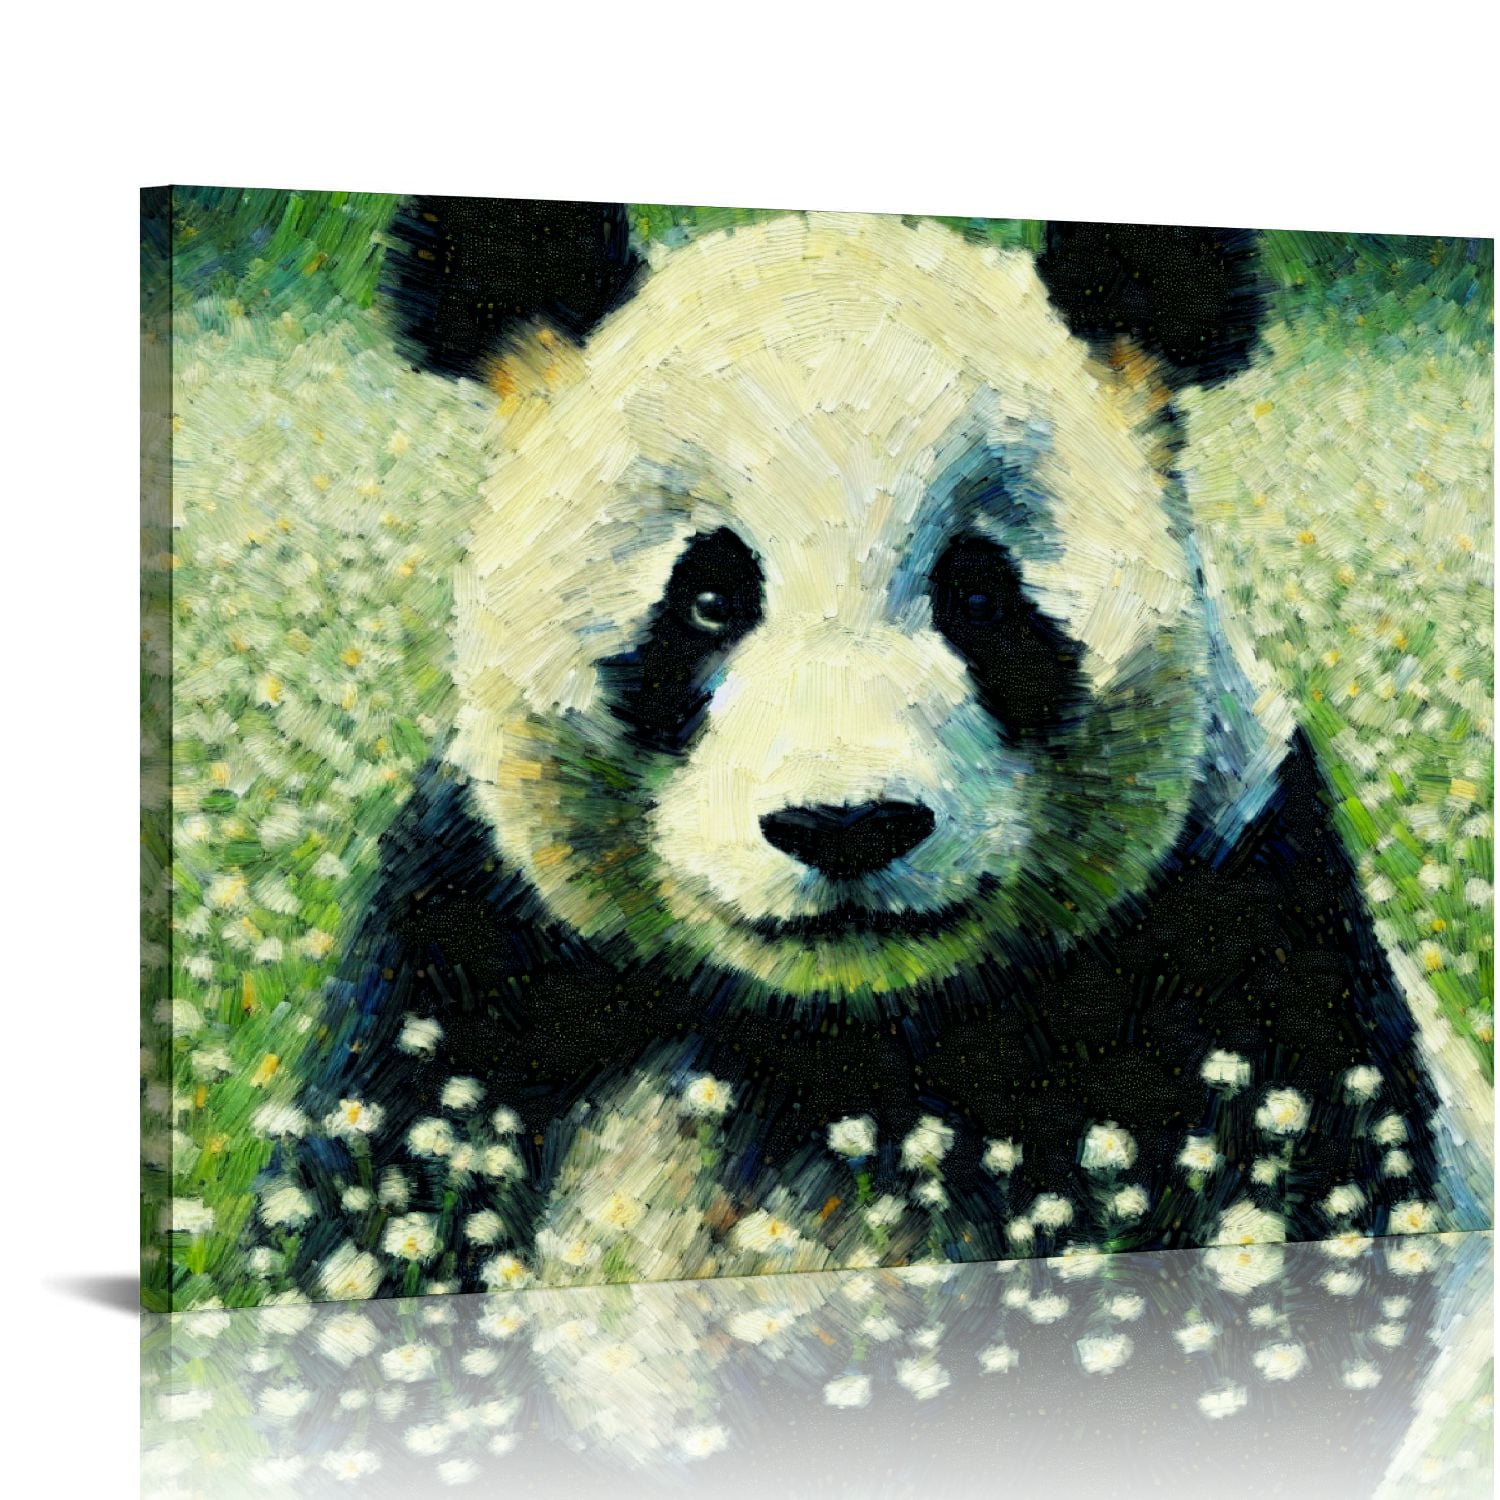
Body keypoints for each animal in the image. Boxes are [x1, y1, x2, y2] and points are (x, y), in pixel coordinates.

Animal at [288, 199, 1447, 1300]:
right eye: (708, 599)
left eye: (979, 596)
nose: (844, 826)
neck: (840, 1042)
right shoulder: (475, 953)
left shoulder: (1240, 922)